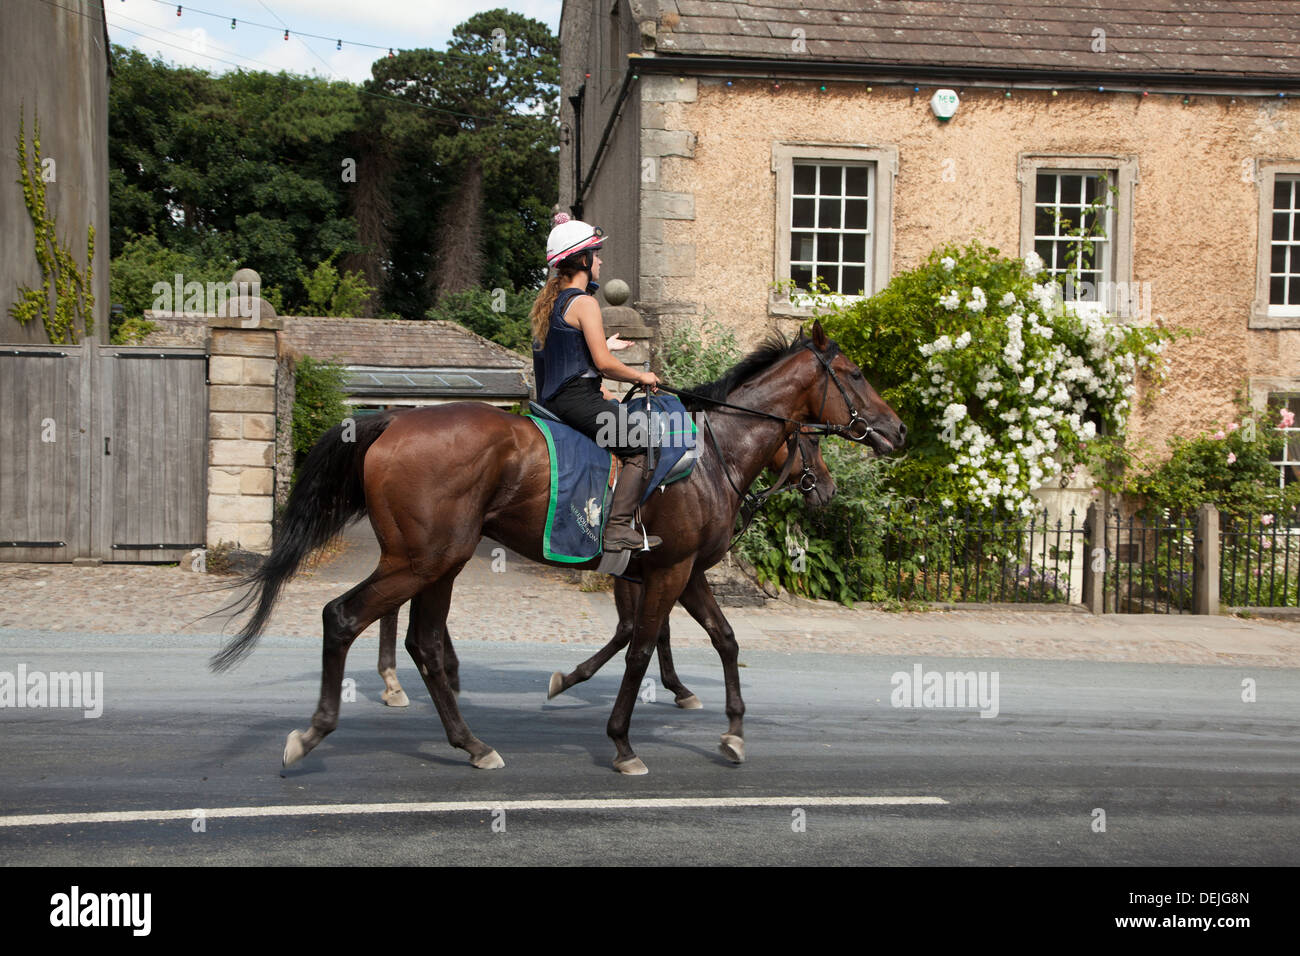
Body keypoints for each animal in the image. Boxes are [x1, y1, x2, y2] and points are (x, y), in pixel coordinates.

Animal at [372, 430, 836, 711]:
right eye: (812, 441)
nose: (829, 489)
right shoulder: (655, 571)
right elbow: (637, 631)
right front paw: (575, 677)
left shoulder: (651, 572)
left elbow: (652, 631)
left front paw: (677, 687)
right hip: (432, 550)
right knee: (395, 606)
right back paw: (403, 679)